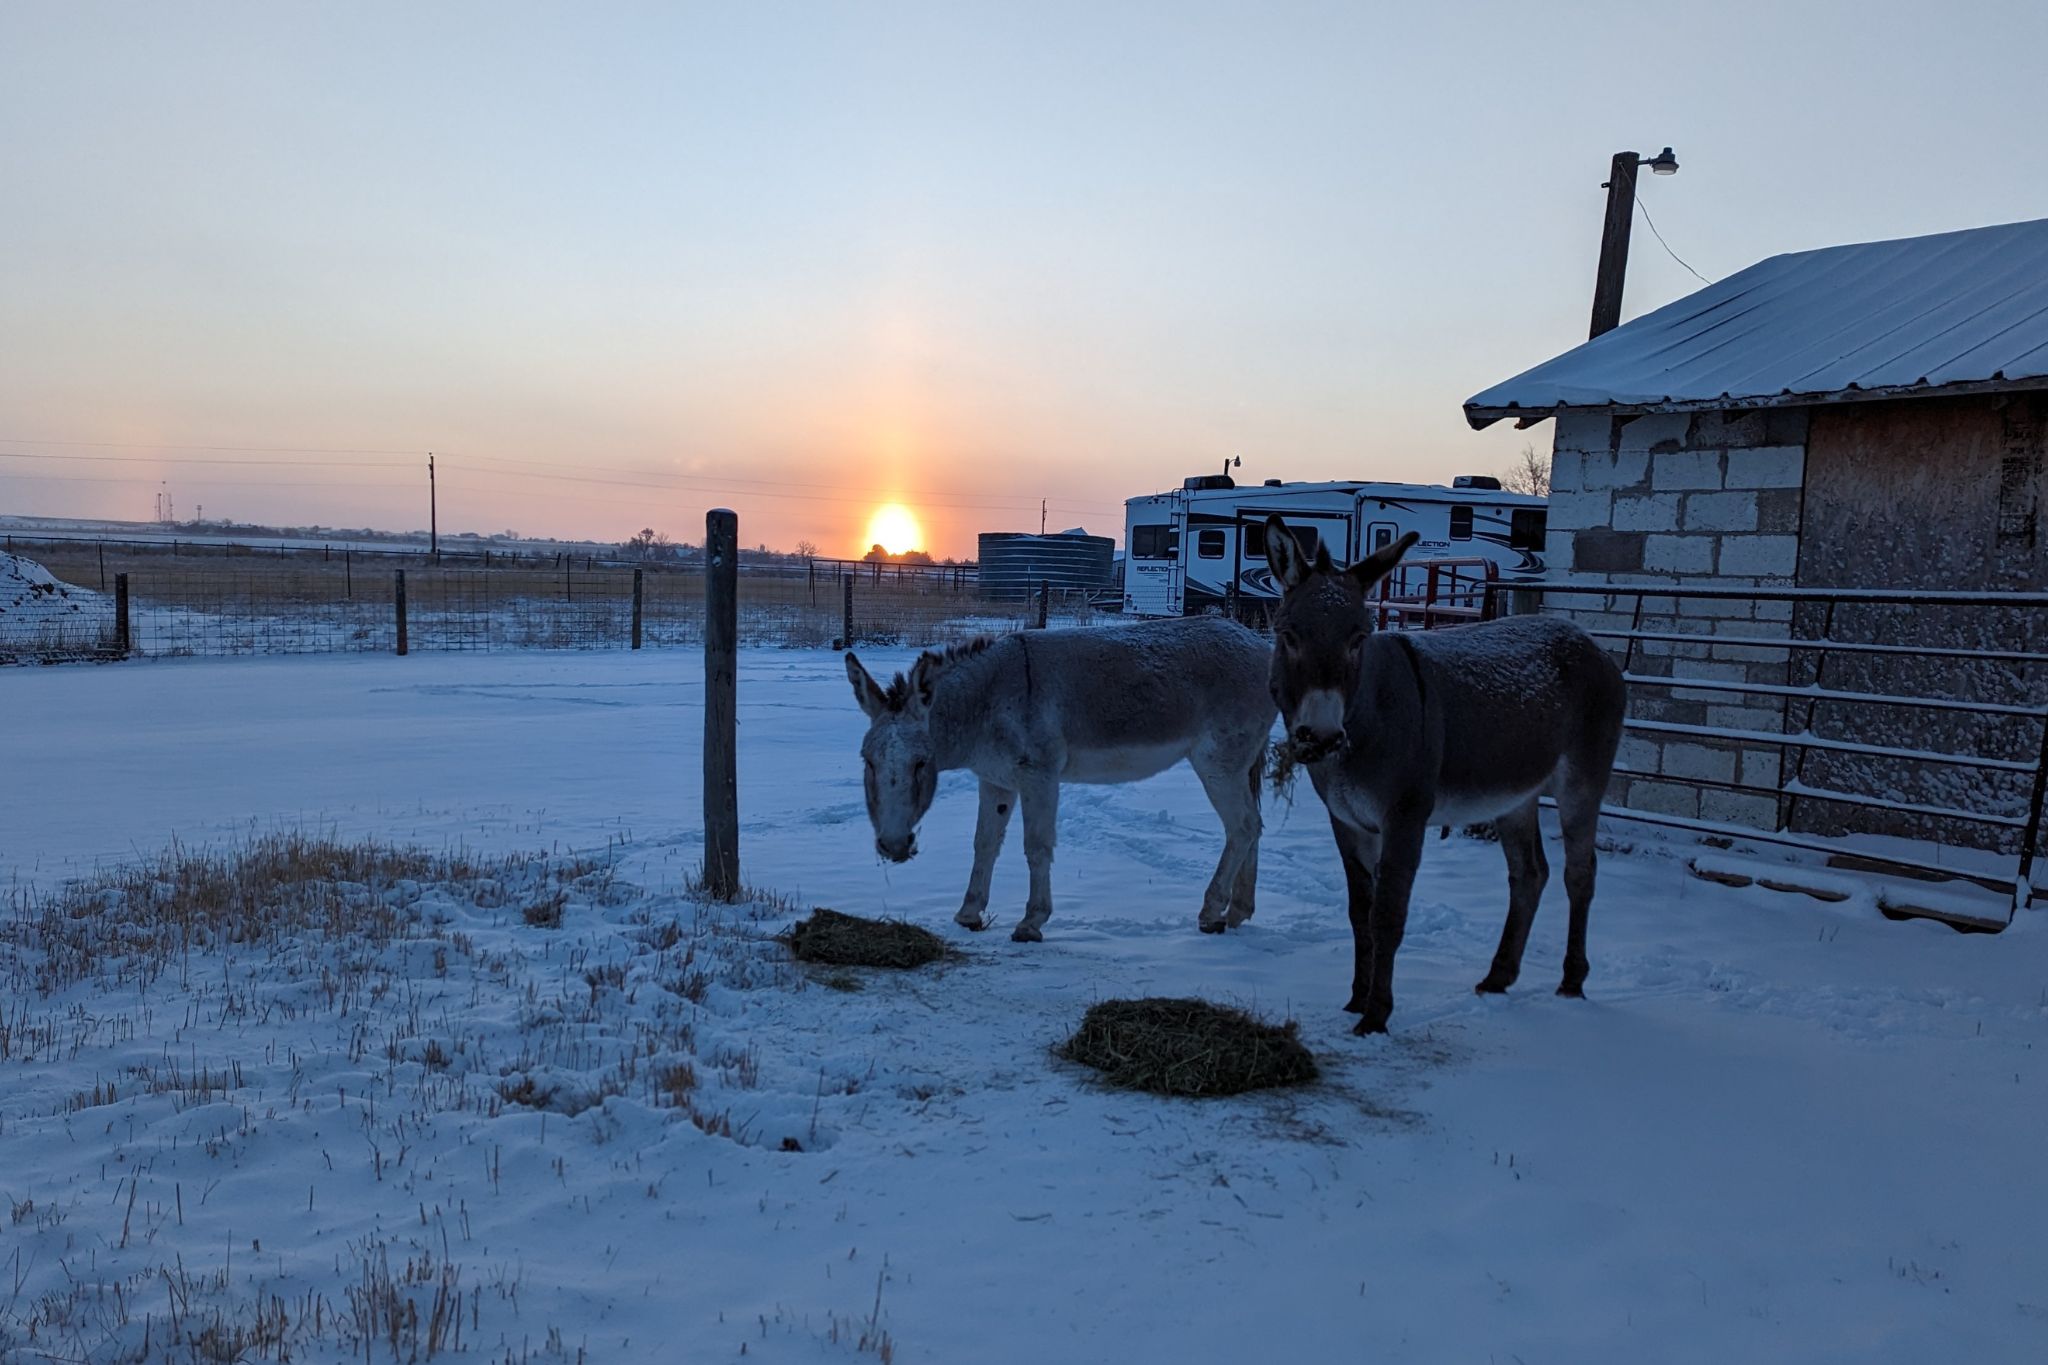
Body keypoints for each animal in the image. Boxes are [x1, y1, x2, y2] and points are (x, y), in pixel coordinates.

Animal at [844, 617, 1276, 942]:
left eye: (922, 763)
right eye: (867, 761)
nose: (894, 846)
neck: (986, 703)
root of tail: (1262, 646)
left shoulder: (1039, 776)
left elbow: (1036, 845)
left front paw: (1031, 922)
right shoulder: (996, 780)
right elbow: (984, 844)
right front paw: (969, 913)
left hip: (1217, 764)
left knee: (1241, 826)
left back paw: (1210, 911)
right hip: (1236, 765)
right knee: (1253, 826)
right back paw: (1236, 912)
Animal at [1261, 515, 1626, 1033]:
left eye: (1358, 638)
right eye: (1289, 636)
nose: (1323, 737)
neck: (1365, 719)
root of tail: (1589, 641)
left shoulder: (1405, 816)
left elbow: (1388, 915)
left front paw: (1376, 1016)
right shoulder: (1347, 821)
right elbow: (1359, 911)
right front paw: (1355, 999)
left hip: (1582, 781)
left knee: (1581, 872)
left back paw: (1572, 981)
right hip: (1514, 795)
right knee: (1529, 873)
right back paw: (1498, 976)